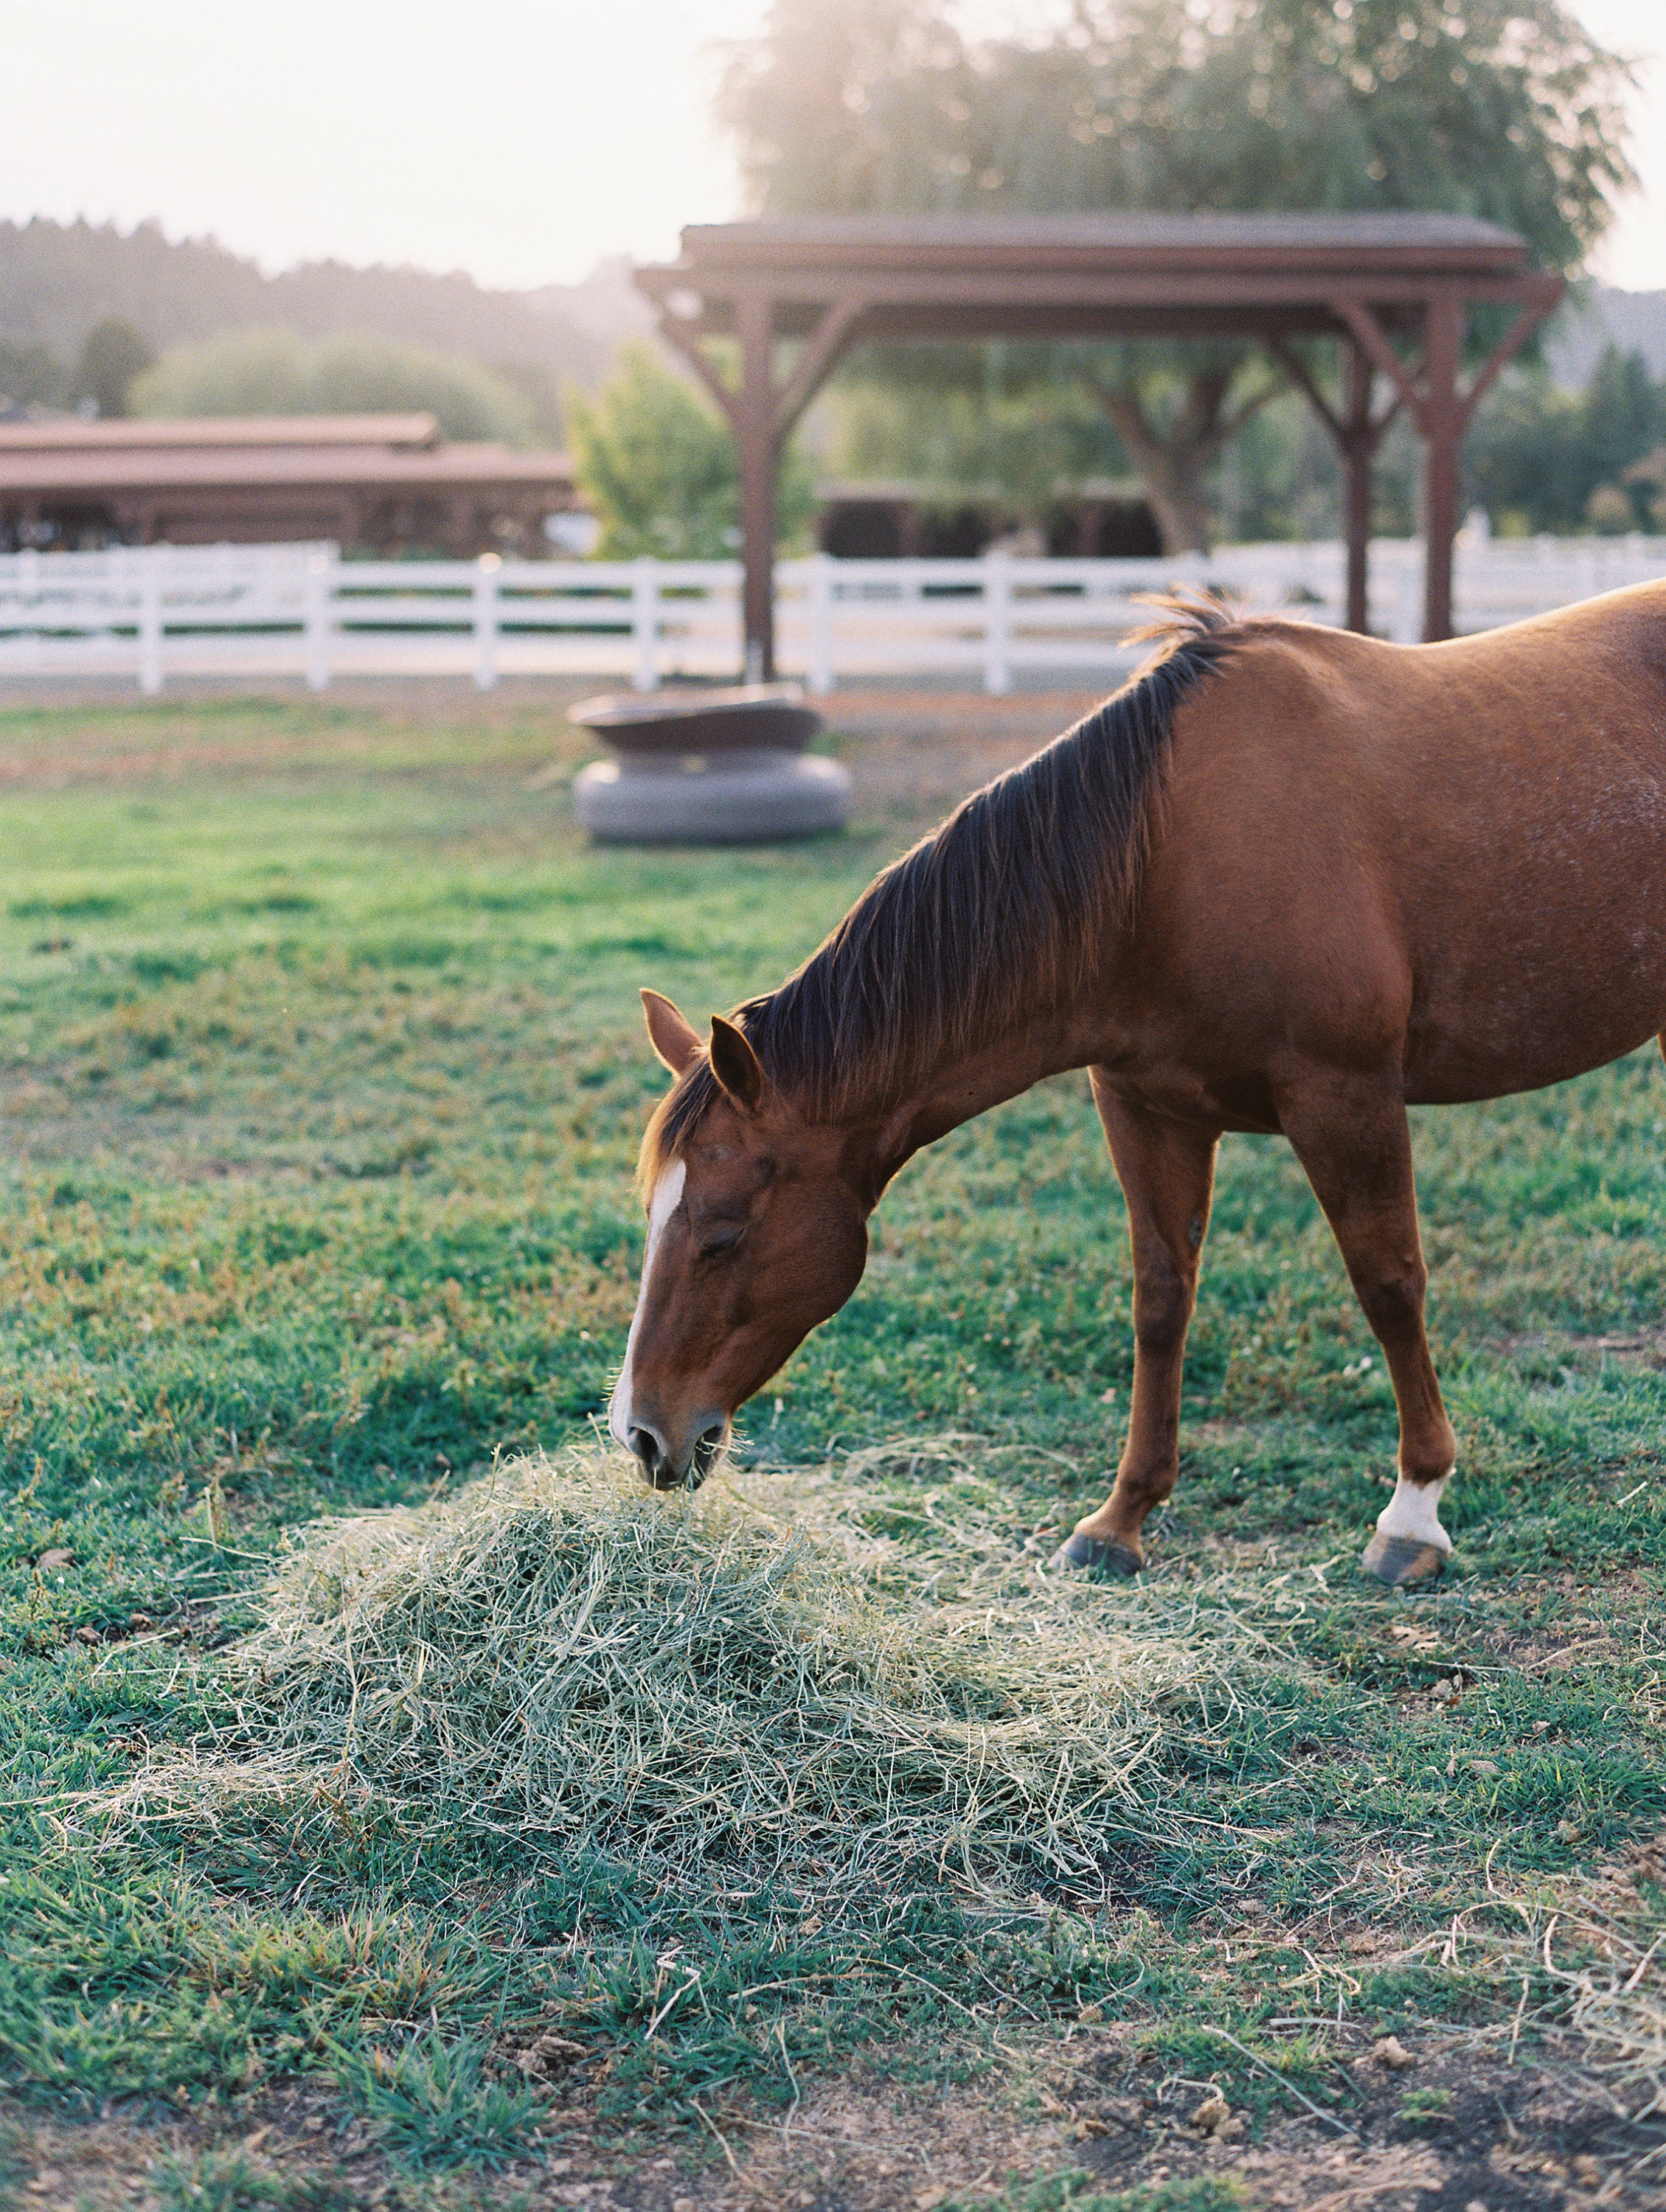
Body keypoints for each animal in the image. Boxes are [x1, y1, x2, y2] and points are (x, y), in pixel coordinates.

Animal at [609, 581, 1666, 1588]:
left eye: (721, 1235)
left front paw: (1411, 1515)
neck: (1162, 862)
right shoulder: (1143, 1108)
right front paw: (1120, 1520)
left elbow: (1388, 1284)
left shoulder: (1344, 1096)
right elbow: (1160, 1301)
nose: (644, 1434)